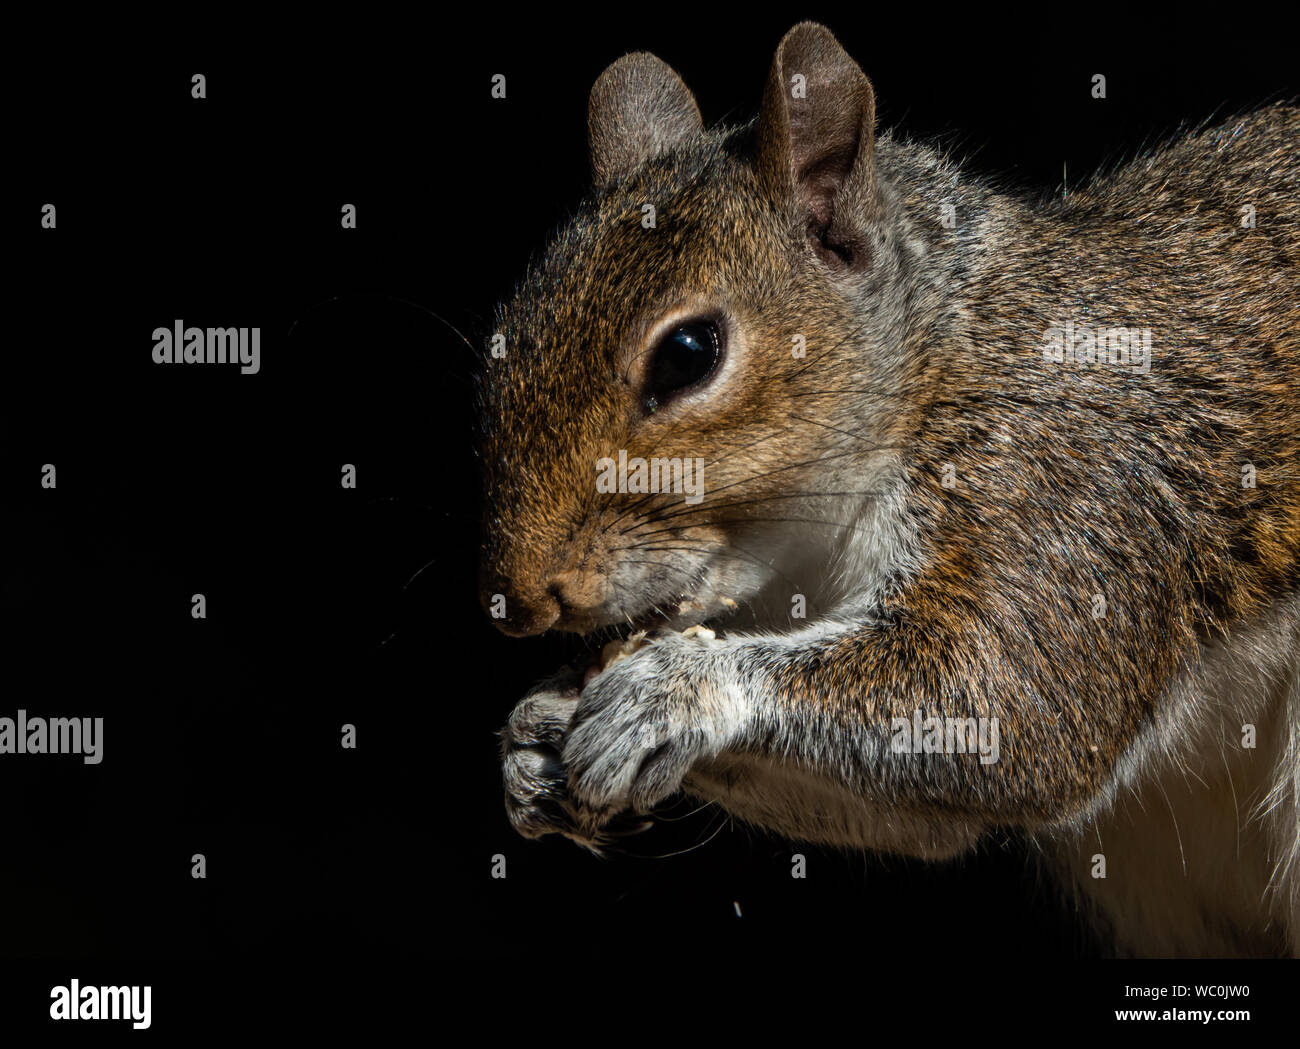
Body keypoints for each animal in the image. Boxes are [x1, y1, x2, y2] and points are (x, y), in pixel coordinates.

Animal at [478, 22, 1300, 957]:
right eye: (508, 335)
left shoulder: (1065, 492)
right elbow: (925, 812)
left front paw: (677, 691)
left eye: (688, 354)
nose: (518, 602)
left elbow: (1011, 700)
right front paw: (534, 734)